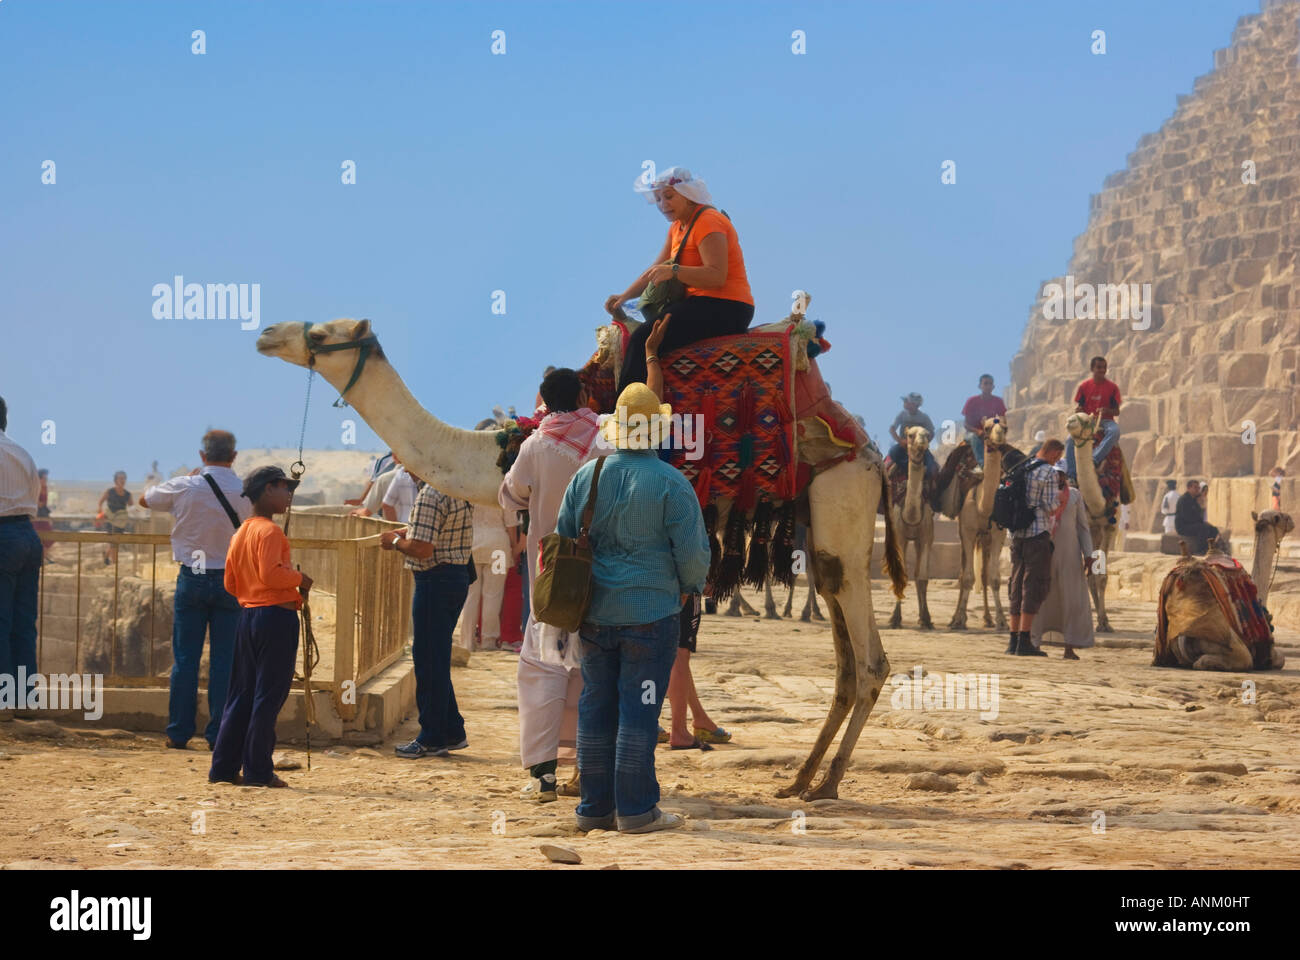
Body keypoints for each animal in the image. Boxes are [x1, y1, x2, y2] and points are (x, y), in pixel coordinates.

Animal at [256, 317, 906, 801]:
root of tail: (871, 455)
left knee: (872, 661)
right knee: (847, 662)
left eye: (322, 331)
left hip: (841, 511)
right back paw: (801, 780)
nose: (266, 333)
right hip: (821, 532)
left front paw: (570, 777)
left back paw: (827, 784)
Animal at [1155, 511, 1292, 671]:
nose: (1292, 522)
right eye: (1282, 516)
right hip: (1231, 646)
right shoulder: (1269, 650)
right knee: (1213, 660)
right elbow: (1280, 659)